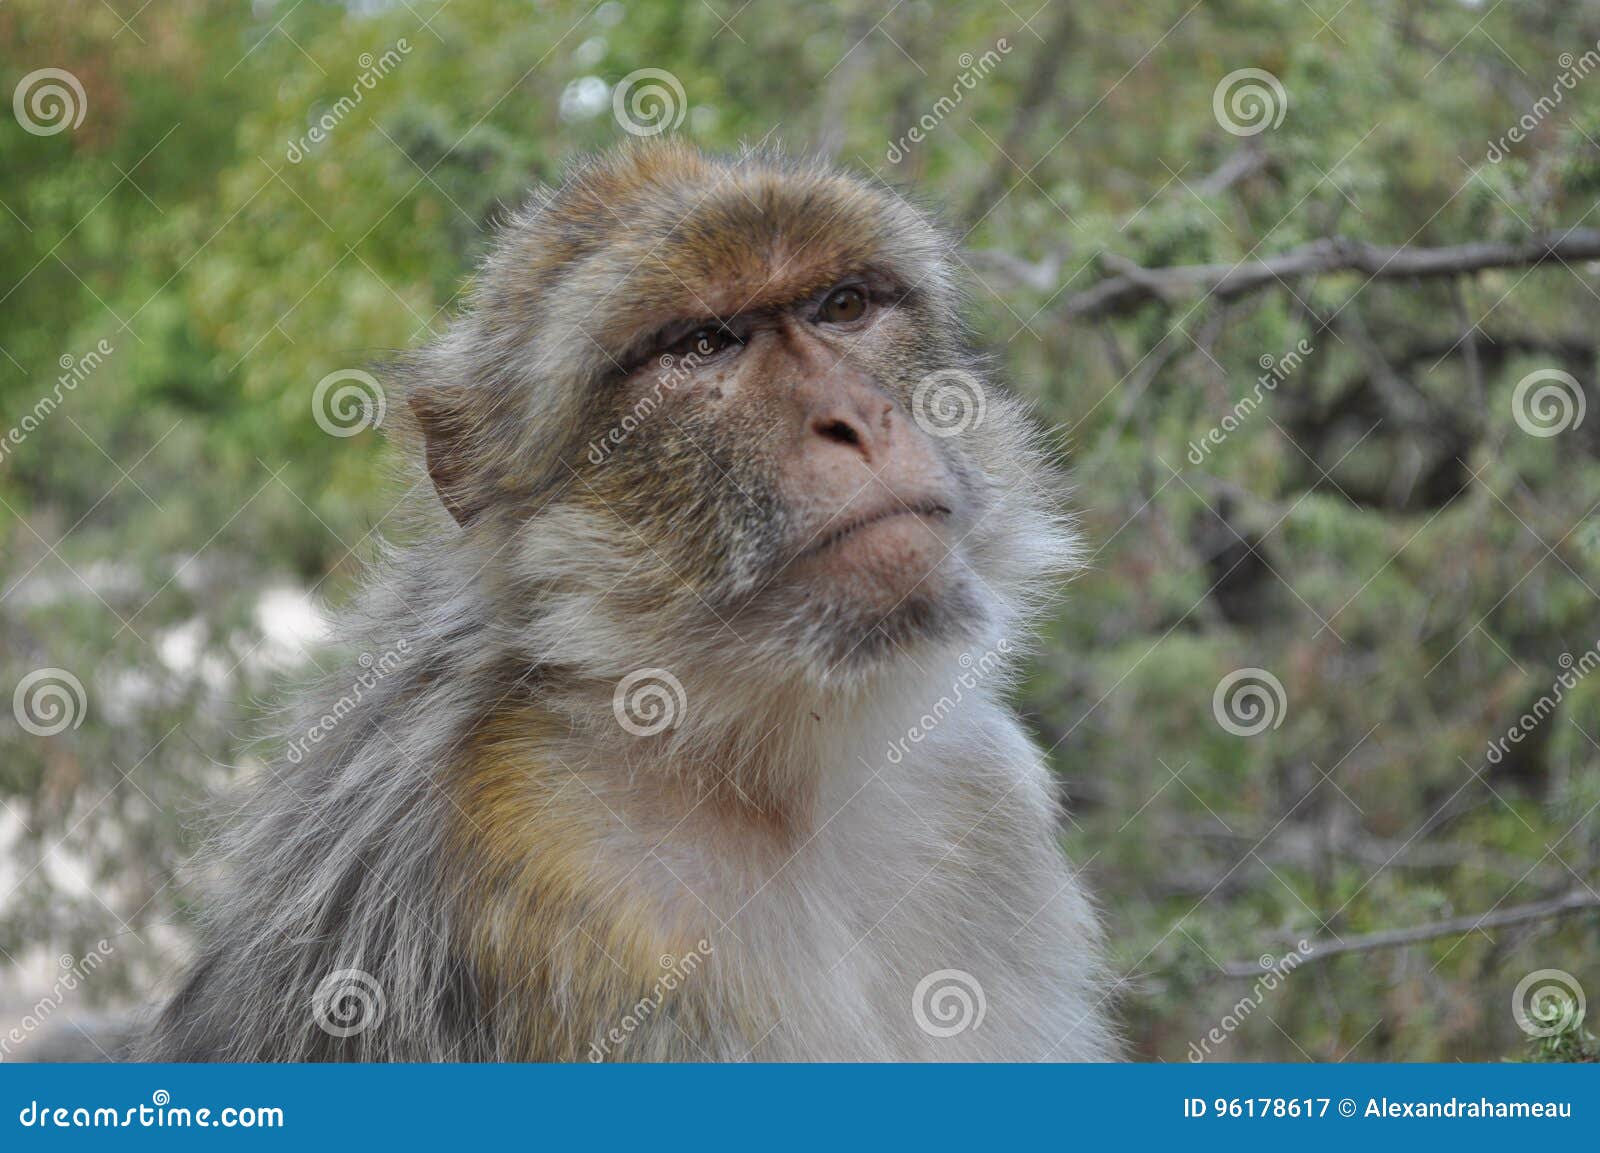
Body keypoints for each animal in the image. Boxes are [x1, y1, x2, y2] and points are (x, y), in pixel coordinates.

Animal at [139, 140, 1118, 1062]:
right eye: (702, 345)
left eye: (842, 306)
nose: (856, 418)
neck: (769, 774)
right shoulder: (558, 886)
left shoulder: (983, 798)